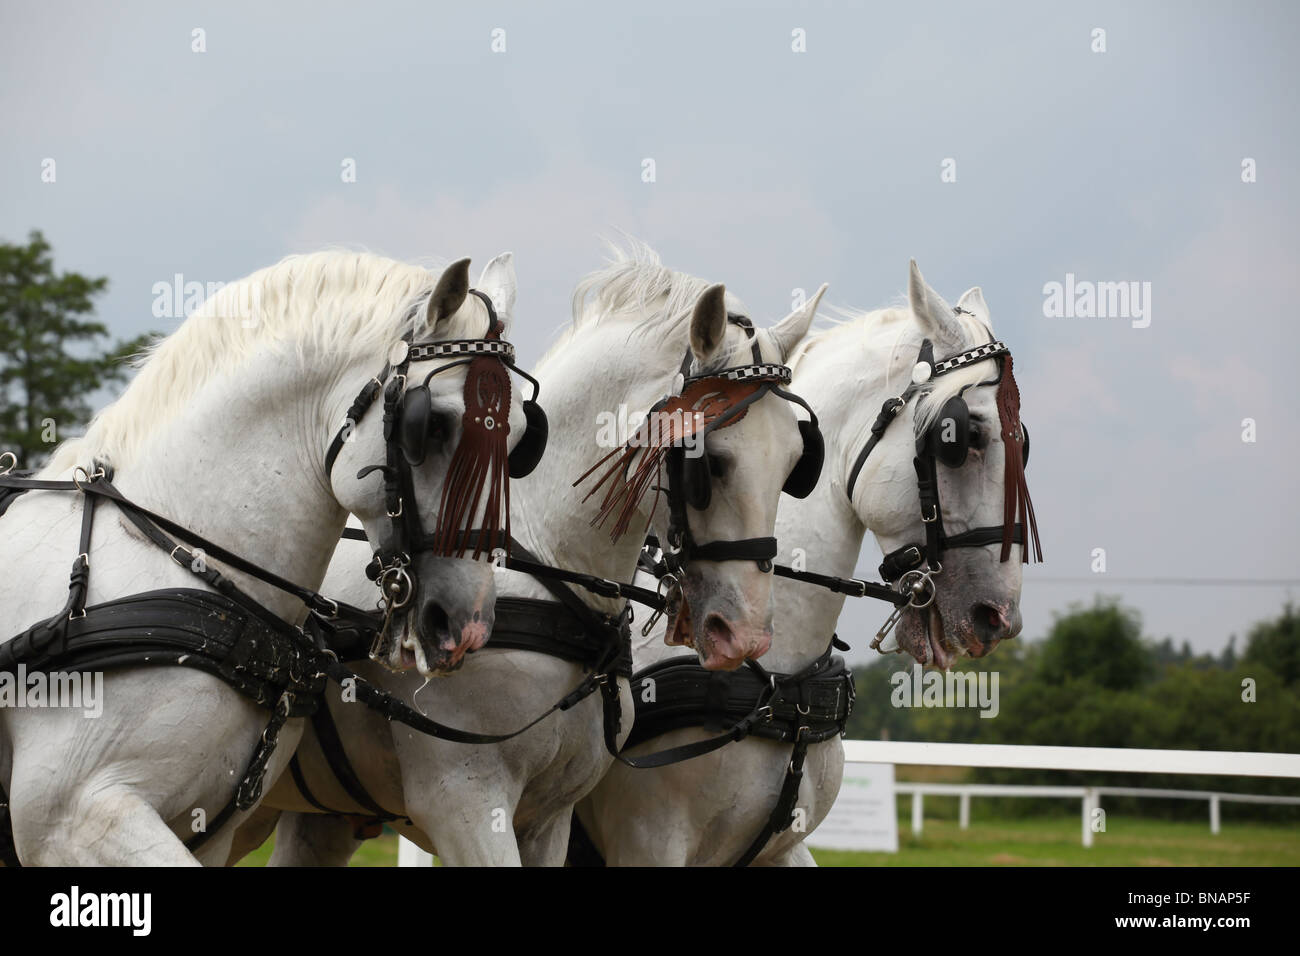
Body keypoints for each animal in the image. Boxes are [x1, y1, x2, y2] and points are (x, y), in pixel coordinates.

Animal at [231, 239, 829, 866]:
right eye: (708, 463)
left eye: (797, 463)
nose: (747, 636)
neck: (544, 565)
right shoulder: (463, 801)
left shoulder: (550, 817)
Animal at [576, 260, 1041, 865]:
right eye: (965, 437)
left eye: (1023, 442)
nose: (999, 617)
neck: (779, 682)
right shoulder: (646, 843)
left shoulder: (783, 848)